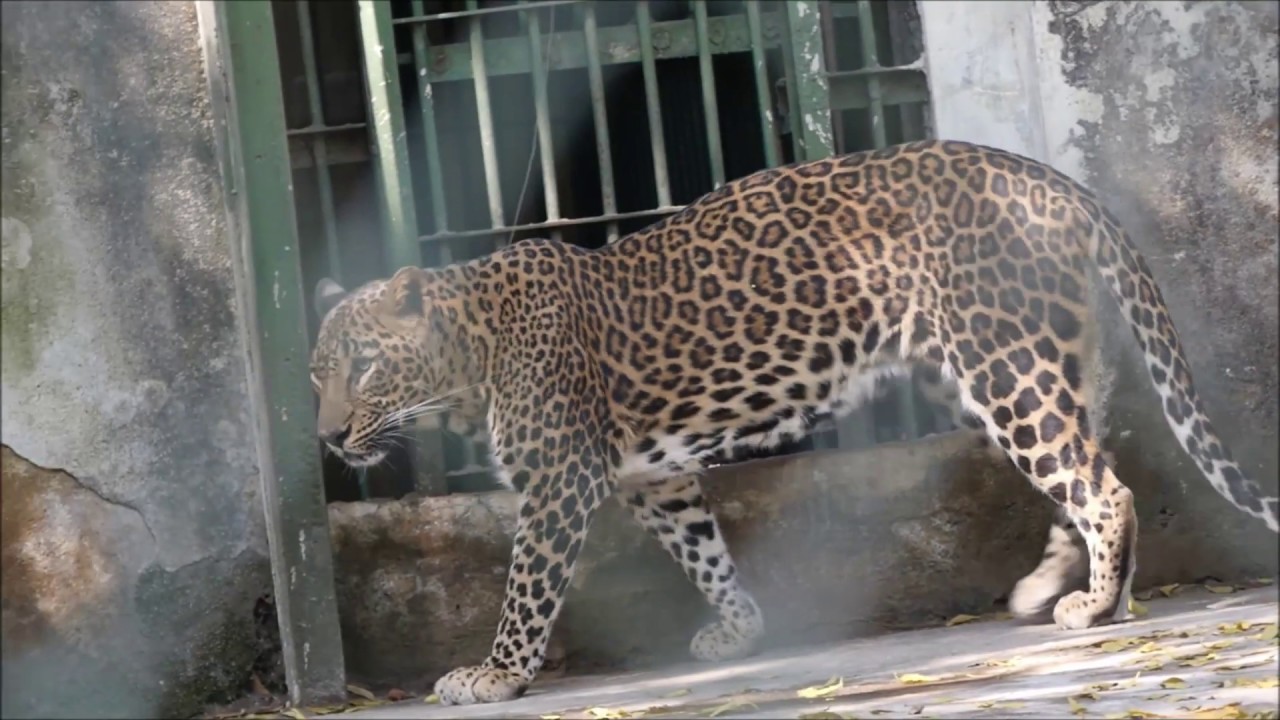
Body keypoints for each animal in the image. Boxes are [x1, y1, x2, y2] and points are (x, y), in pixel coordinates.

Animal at [309, 139, 1279, 706]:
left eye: (365, 368)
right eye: (317, 377)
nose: (325, 436)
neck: (467, 359)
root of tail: (1051, 180)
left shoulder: (559, 480)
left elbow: (528, 587)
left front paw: (495, 672)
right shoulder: (655, 477)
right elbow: (702, 552)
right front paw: (740, 630)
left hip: (1003, 364)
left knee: (1102, 484)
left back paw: (1096, 605)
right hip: (1025, 369)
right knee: (1086, 466)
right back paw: (1070, 590)